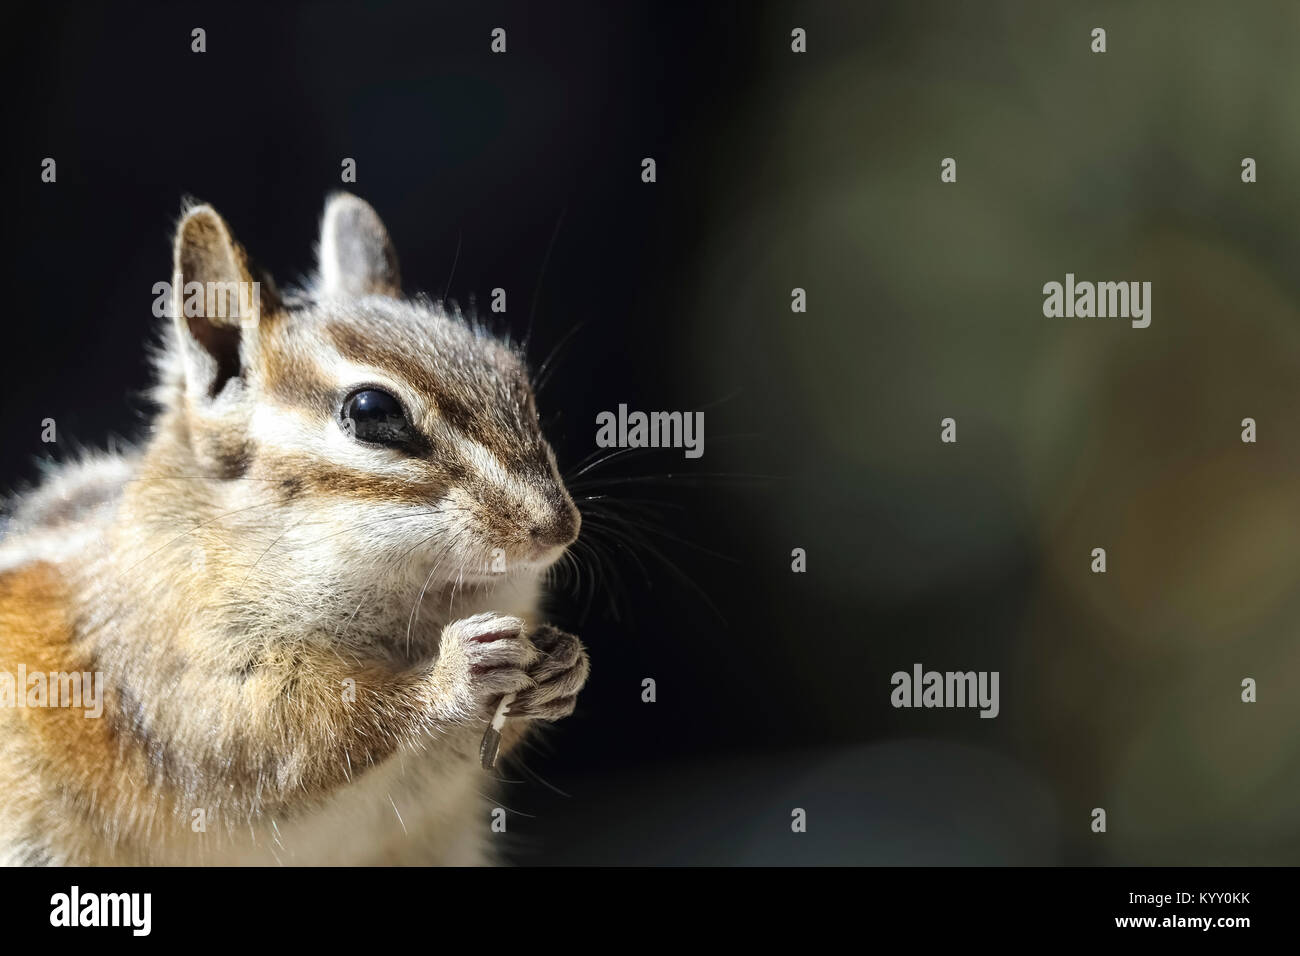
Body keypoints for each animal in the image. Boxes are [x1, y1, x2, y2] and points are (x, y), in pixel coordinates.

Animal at [0, 194, 589, 865]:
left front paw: (566, 666)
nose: (559, 527)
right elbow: (294, 735)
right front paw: (455, 673)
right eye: (372, 412)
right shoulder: (184, 666)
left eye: (512, 375)